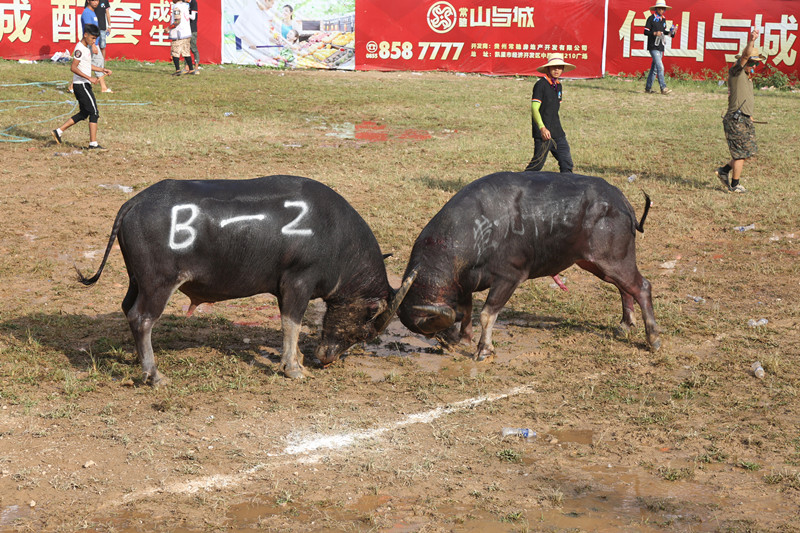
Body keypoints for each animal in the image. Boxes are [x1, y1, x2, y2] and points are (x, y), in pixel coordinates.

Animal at [78, 177, 416, 384]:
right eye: (363, 330)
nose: (327, 359)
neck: (336, 237)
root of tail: (134, 203)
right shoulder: (299, 282)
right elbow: (291, 323)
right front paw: (293, 368)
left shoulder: (284, 287)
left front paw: (297, 359)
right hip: (158, 283)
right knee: (142, 318)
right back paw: (154, 374)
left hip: (137, 280)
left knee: (127, 308)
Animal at [396, 172, 660, 360]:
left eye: (431, 330)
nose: (444, 341)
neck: (480, 229)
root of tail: (622, 201)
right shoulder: (465, 284)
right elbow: (468, 310)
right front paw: (464, 338)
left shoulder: (509, 277)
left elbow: (487, 313)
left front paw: (484, 349)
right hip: (596, 263)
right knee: (624, 288)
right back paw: (625, 325)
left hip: (614, 260)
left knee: (642, 286)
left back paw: (653, 338)